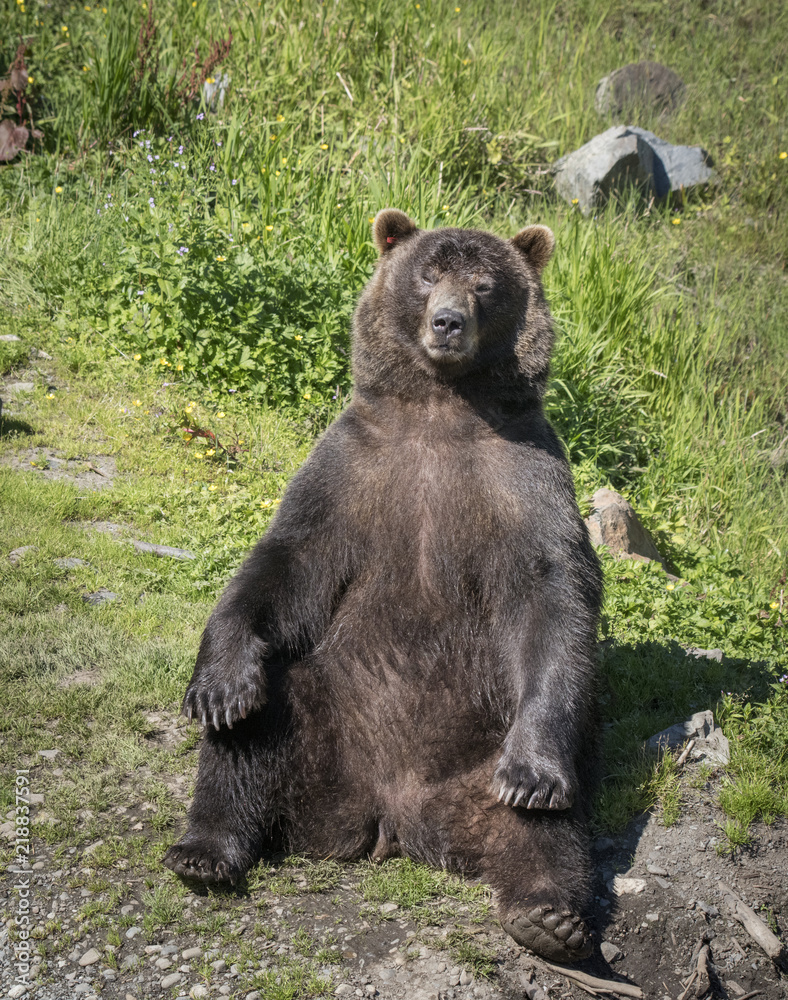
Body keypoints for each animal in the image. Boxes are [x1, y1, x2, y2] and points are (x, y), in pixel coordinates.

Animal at [163, 209, 603, 964]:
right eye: (427, 273)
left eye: (485, 284)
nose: (448, 322)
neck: (439, 410)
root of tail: (389, 819)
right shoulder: (352, 469)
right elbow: (285, 563)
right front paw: (218, 682)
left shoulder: (523, 480)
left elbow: (552, 596)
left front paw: (535, 776)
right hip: (325, 725)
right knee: (257, 729)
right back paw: (205, 848)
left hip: (482, 752)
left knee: (542, 823)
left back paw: (548, 913)